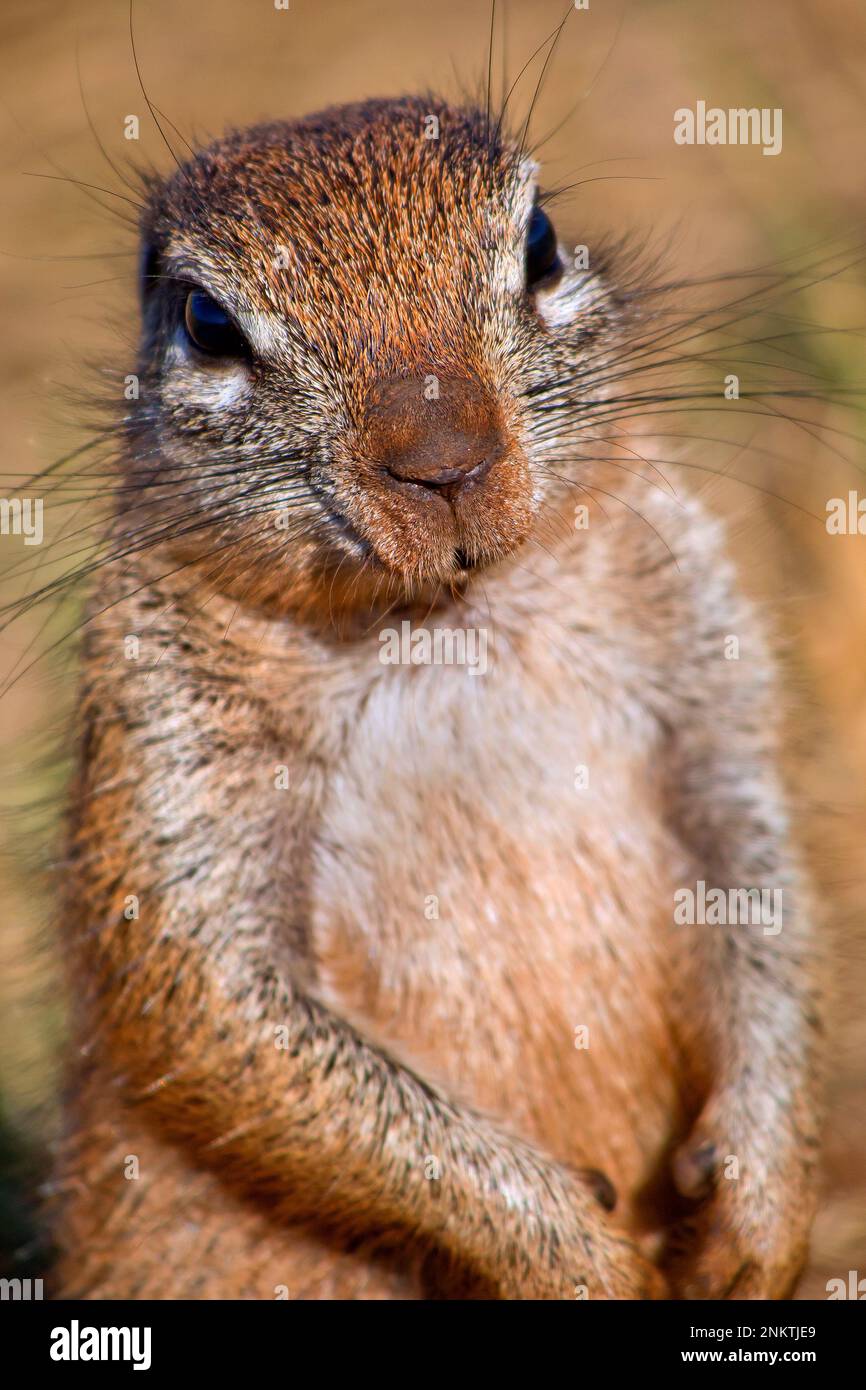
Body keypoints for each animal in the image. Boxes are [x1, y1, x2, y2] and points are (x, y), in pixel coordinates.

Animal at [51, 96, 826, 1300]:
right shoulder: (166, 736)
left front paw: (760, 1202)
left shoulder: (703, 678)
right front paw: (577, 1257)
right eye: (205, 322)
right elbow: (216, 1002)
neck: (450, 623)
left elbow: (757, 872)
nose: (445, 460)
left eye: (541, 242)